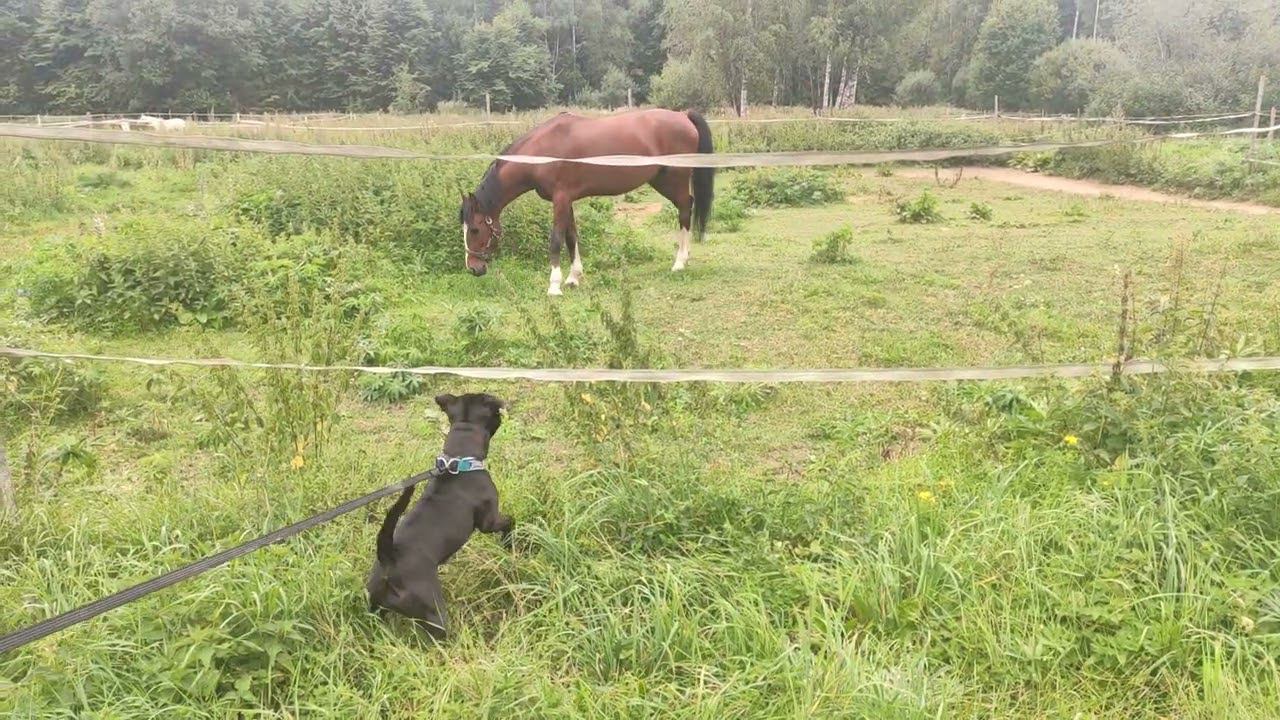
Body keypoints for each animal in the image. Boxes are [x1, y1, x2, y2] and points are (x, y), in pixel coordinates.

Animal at [459, 109, 715, 295]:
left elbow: (555, 240)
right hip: (662, 180)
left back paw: (679, 262)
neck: (542, 153)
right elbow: (571, 237)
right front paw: (573, 278)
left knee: (685, 210)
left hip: (674, 179)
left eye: (475, 230)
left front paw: (554, 285)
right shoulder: (566, 201)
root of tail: (683, 115)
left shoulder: (560, 199)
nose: (473, 268)